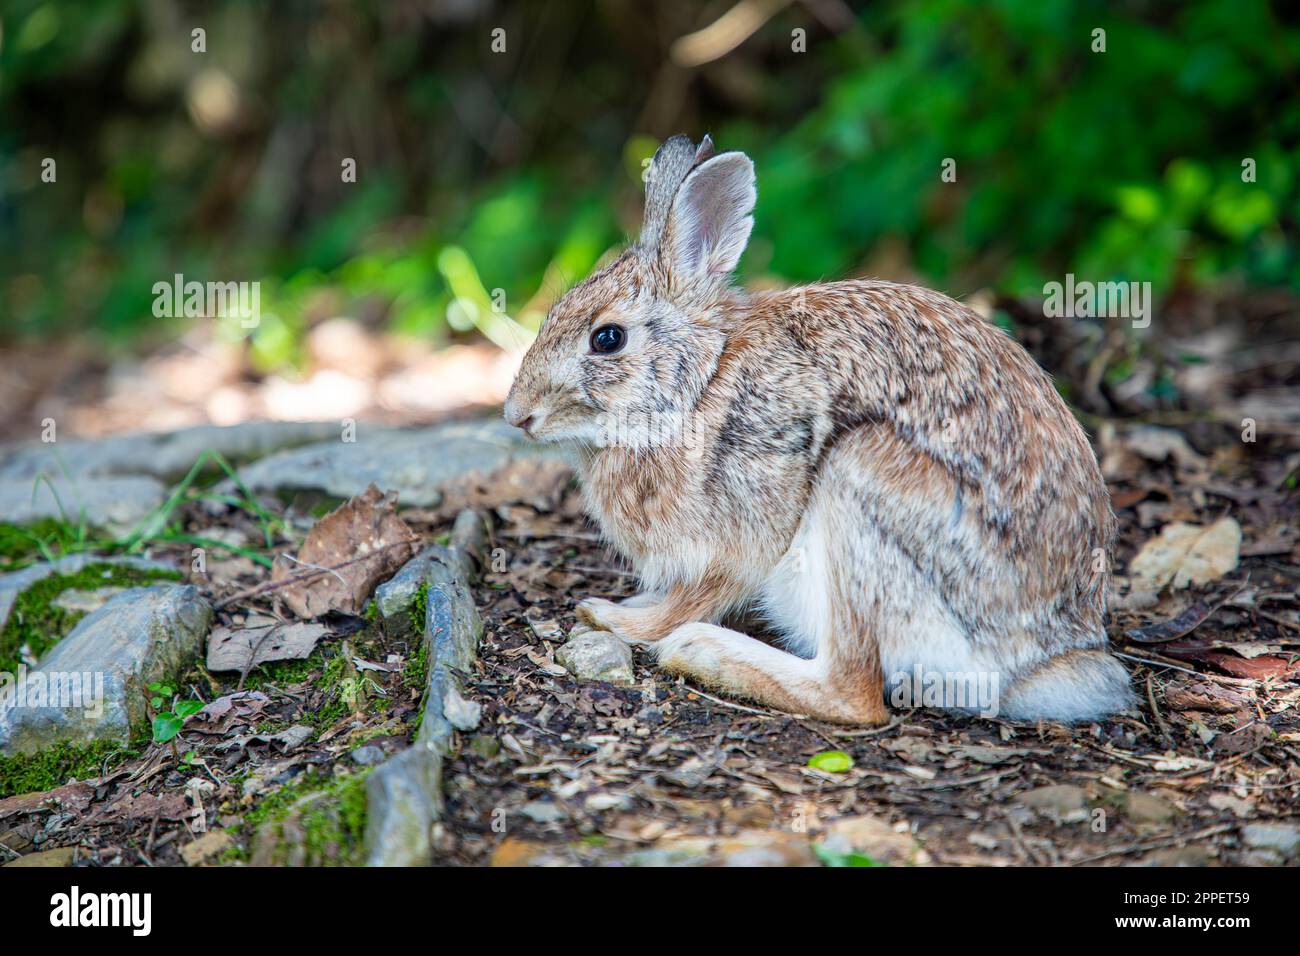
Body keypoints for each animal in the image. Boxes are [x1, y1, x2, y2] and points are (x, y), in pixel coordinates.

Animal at [503, 134, 1134, 725]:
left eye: (607, 338)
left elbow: (689, 599)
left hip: (860, 485)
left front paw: (611, 616)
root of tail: (1045, 657)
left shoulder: (739, 541)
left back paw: (704, 652)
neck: (695, 385)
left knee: (853, 690)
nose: (516, 414)